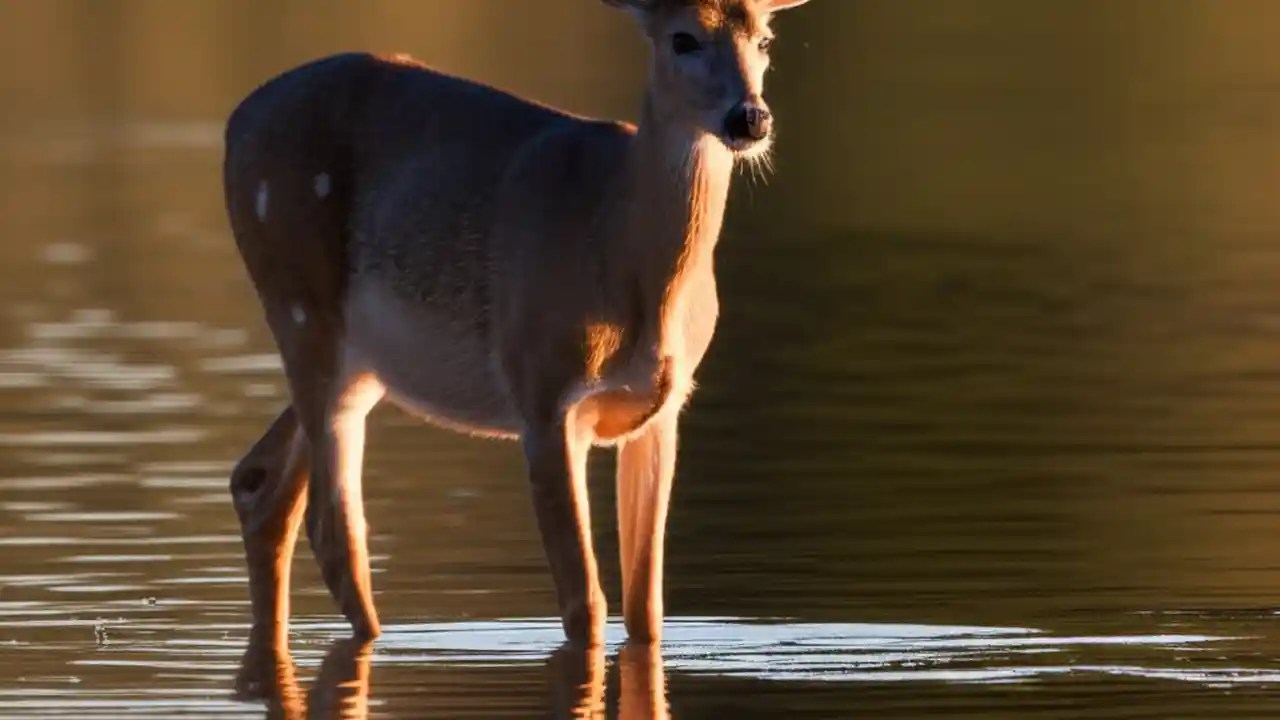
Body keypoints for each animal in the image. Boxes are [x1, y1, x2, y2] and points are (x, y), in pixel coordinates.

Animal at [223, 0, 814, 651]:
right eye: (682, 38)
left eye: (765, 39)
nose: (749, 117)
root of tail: (233, 125)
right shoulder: (544, 389)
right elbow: (585, 605)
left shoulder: (664, 406)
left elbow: (647, 610)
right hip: (300, 304)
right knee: (332, 530)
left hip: (361, 362)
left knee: (261, 483)